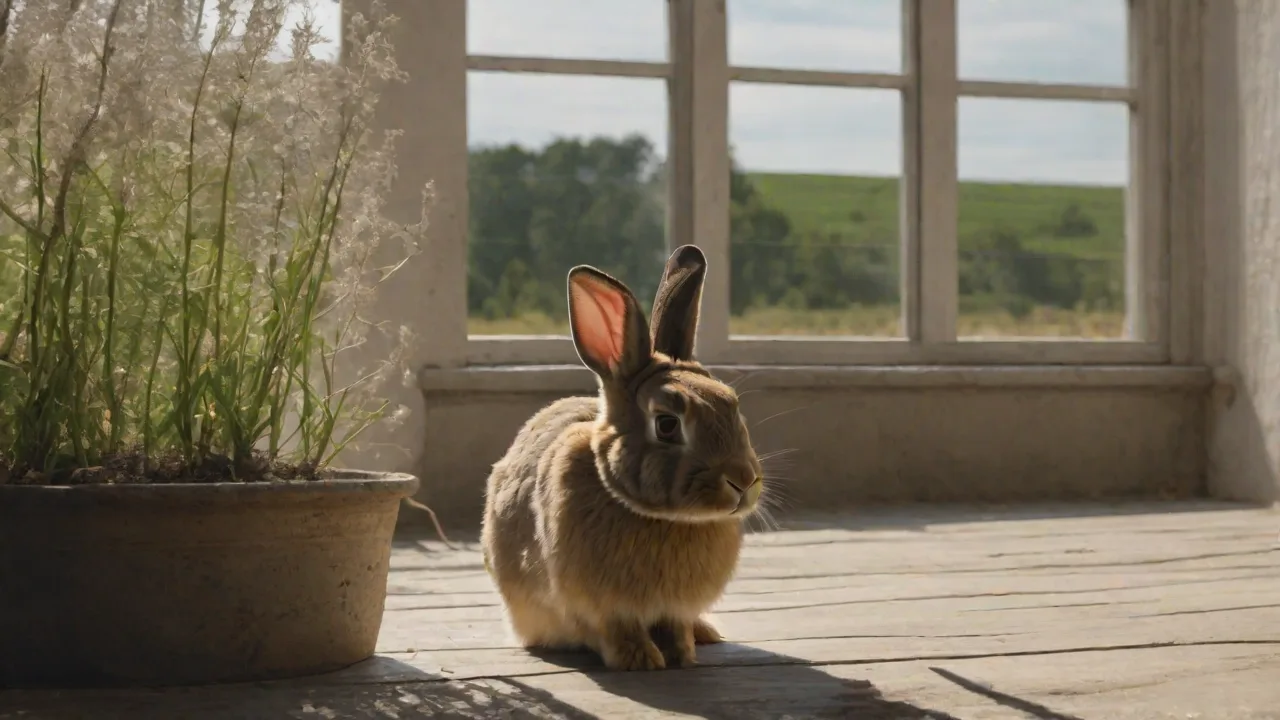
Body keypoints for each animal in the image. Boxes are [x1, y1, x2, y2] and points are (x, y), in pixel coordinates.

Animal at [480, 244, 766, 672]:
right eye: (667, 425)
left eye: (732, 407)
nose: (743, 481)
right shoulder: (599, 608)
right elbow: (616, 629)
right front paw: (640, 659)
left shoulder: (673, 609)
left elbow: (674, 625)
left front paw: (681, 654)